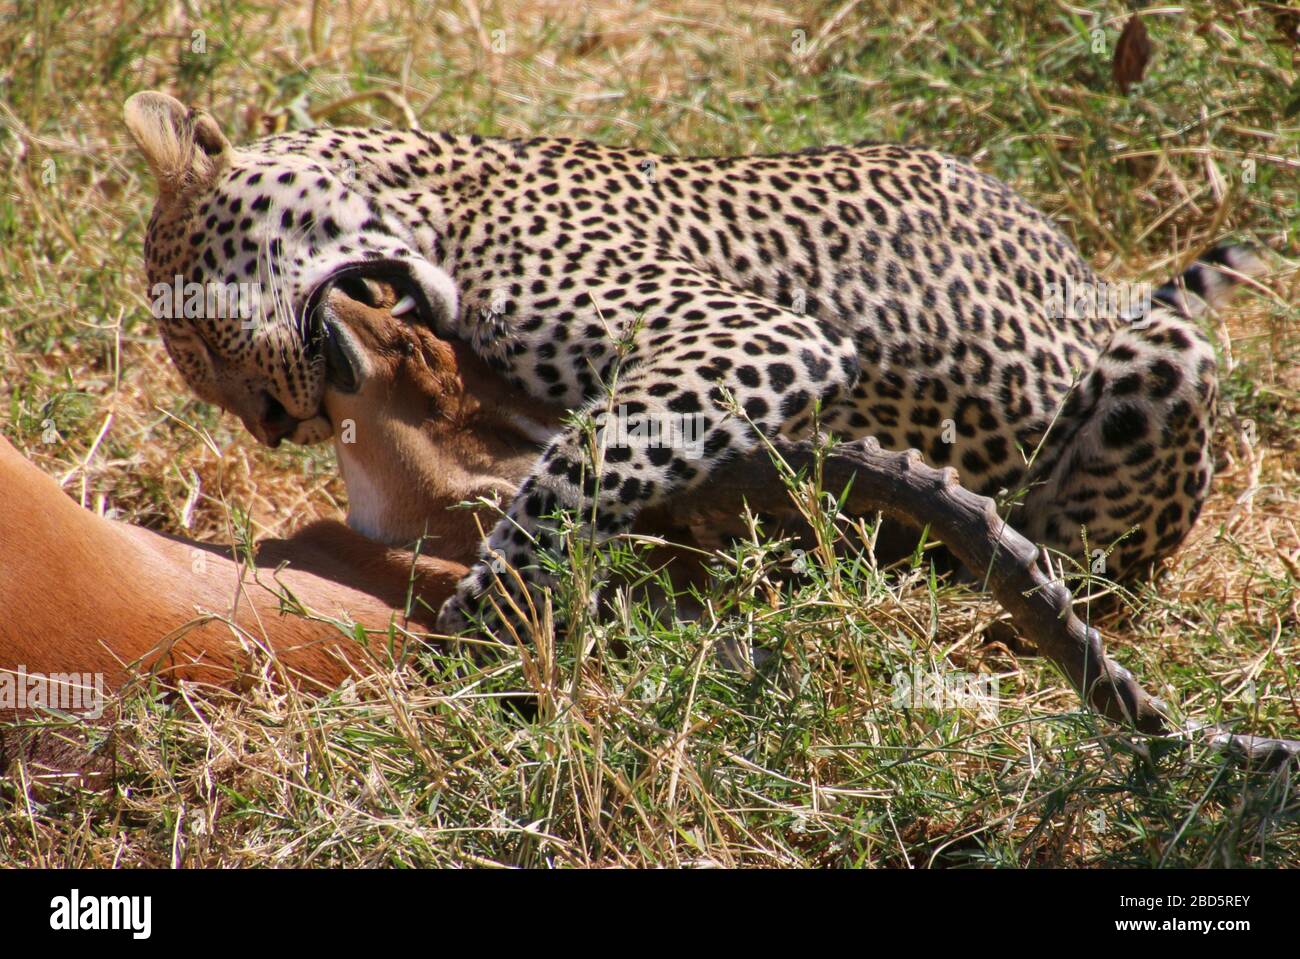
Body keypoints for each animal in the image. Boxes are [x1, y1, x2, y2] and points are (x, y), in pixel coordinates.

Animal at [123, 90, 1262, 640]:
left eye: (208, 341)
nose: (279, 424)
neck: (422, 197)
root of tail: (1100, 282)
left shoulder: (748, 336)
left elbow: (571, 476)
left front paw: (488, 607)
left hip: (1164, 362)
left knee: (1099, 576)